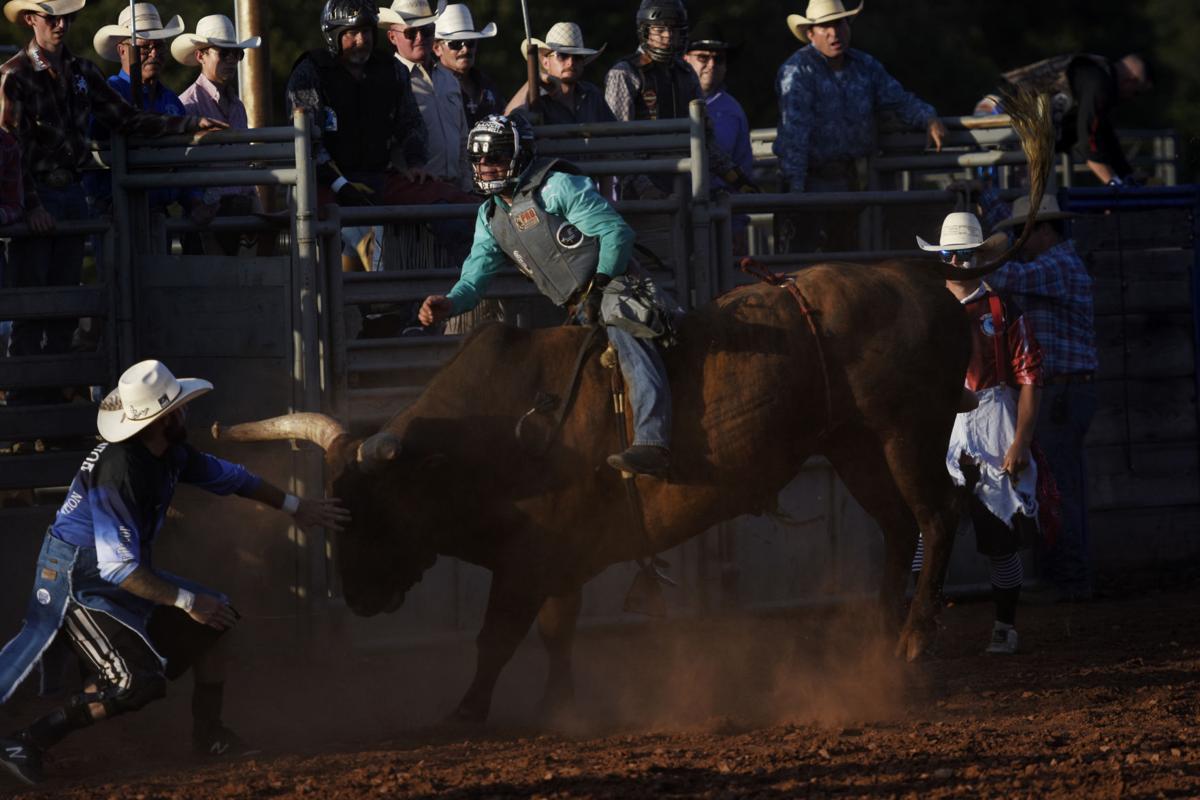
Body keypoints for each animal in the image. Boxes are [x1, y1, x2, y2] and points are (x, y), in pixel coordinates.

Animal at [215, 92, 1054, 724]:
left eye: (376, 511)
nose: (358, 599)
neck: (492, 439)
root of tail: (921, 278)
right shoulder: (561, 562)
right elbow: (556, 635)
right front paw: (559, 705)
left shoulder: (529, 561)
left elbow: (499, 637)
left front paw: (467, 712)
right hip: (853, 446)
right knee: (893, 527)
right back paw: (878, 637)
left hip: (906, 431)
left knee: (938, 514)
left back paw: (910, 642)